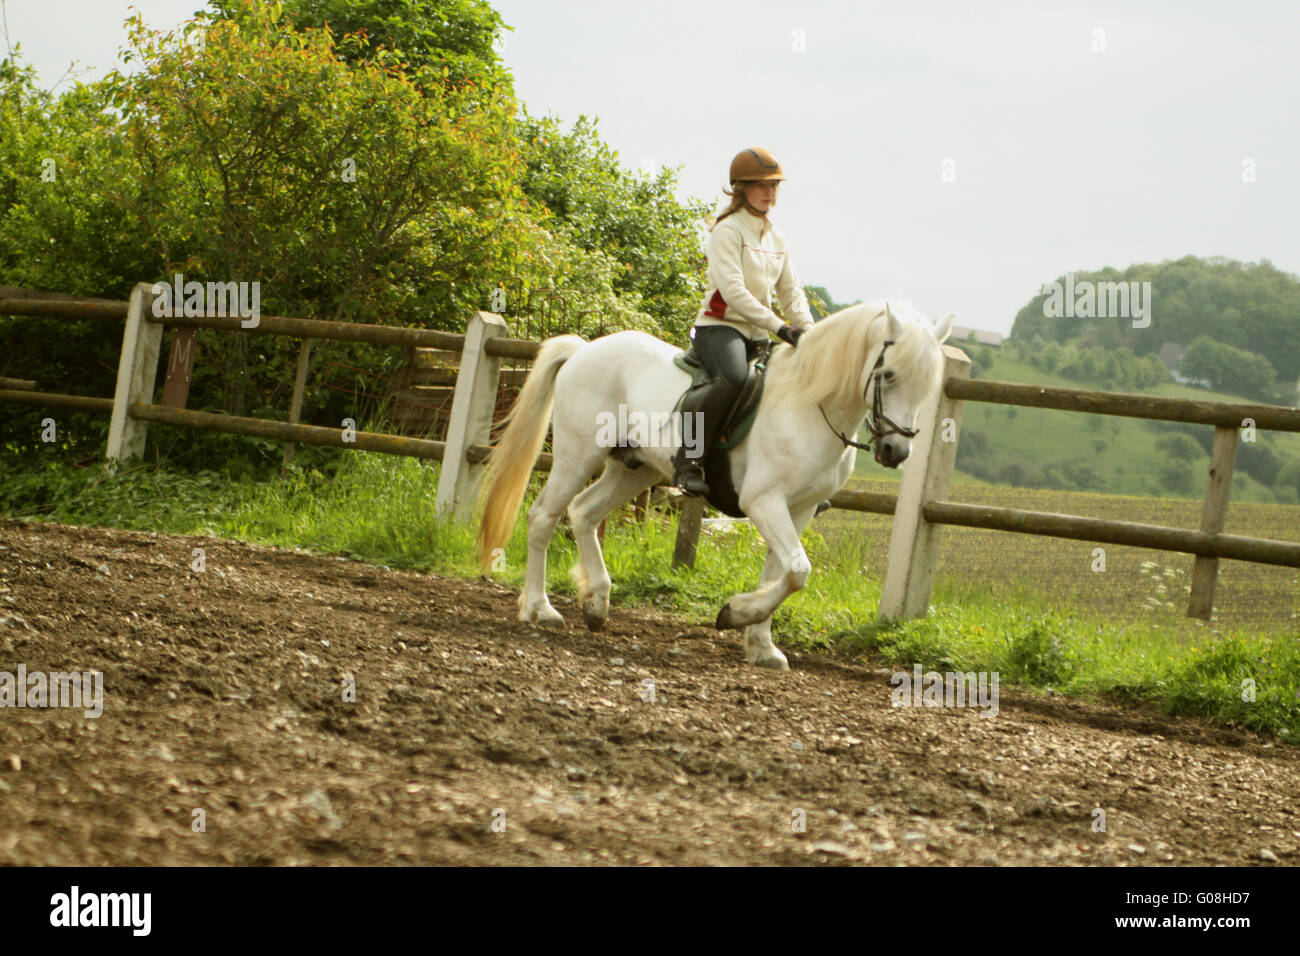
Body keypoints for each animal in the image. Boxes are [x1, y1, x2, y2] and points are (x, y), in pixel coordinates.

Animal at [477, 300, 954, 670]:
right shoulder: (765, 503)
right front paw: (736, 613)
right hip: (578, 455)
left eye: (927, 385)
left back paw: (596, 603)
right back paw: (540, 609)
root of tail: (585, 350)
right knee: (544, 516)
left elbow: (782, 573)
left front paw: (761, 646)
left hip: (634, 469)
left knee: (583, 512)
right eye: (888, 374)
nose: (896, 451)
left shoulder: (797, 510)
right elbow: (798, 571)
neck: (810, 405)